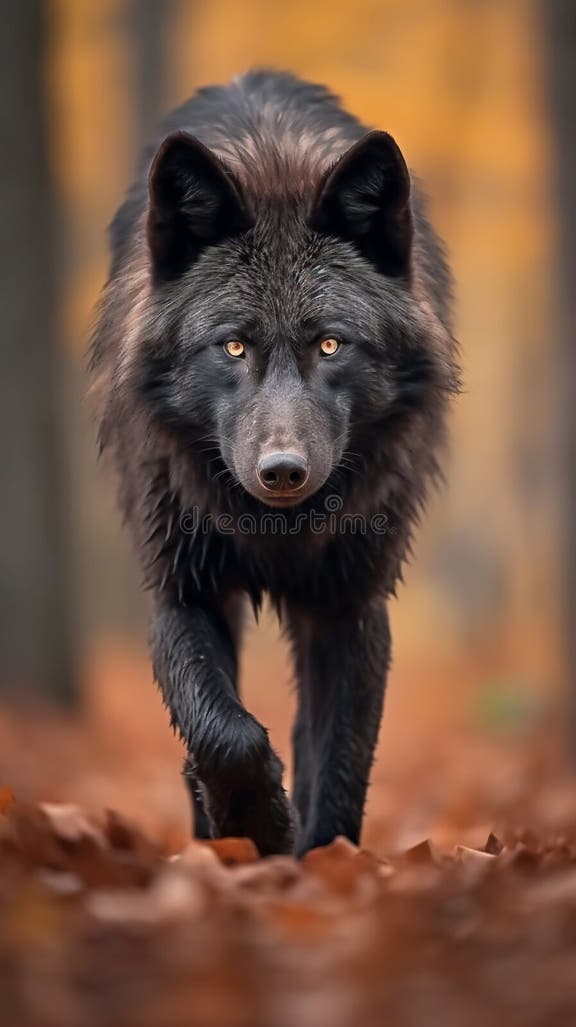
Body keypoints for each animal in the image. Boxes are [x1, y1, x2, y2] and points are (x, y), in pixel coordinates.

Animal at [91, 70, 459, 856]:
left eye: (330, 344)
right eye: (233, 345)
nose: (283, 470)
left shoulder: (348, 606)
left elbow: (339, 755)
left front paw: (324, 861)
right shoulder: (183, 590)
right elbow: (223, 733)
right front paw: (255, 828)